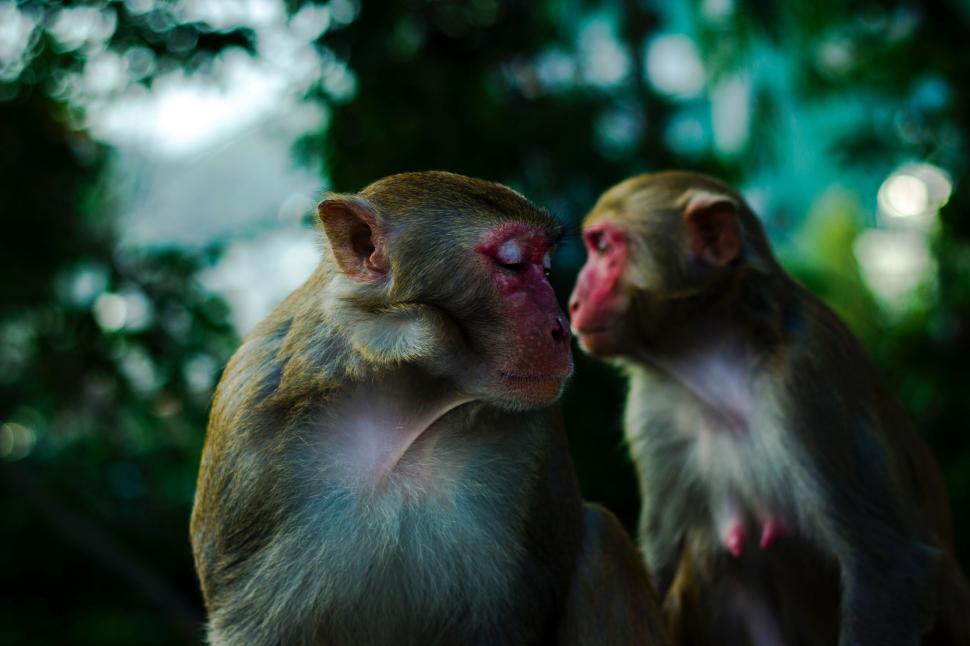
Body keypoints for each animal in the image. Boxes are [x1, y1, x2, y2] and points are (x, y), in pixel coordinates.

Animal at [566, 171, 970, 646]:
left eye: (603, 247)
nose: (572, 302)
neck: (712, 367)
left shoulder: (806, 382)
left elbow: (886, 564)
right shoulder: (650, 410)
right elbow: (659, 565)